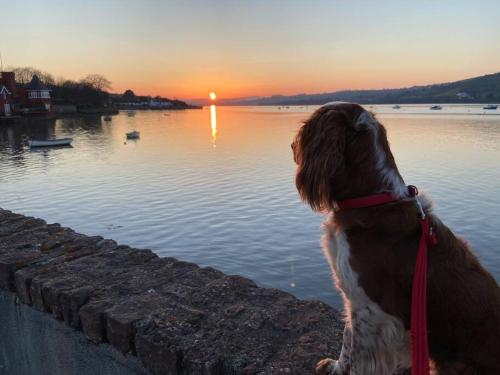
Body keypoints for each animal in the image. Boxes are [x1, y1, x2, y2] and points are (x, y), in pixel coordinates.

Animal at [292, 101, 500, 374]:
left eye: (308, 126)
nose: (291, 146)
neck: (371, 202)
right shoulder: (355, 299)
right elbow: (347, 340)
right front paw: (336, 367)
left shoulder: (373, 310)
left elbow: (357, 352)